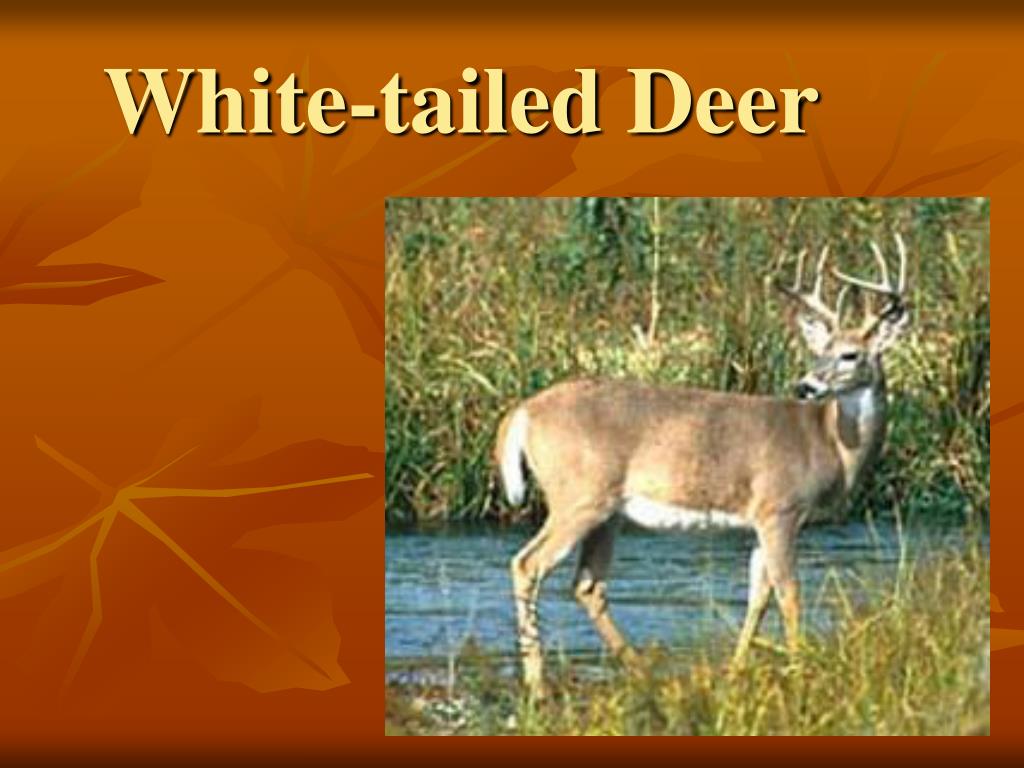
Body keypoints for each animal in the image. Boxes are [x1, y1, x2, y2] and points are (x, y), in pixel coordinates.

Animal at [494, 235, 910, 698]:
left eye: (850, 355)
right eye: (819, 352)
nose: (806, 385)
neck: (827, 442)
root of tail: (523, 411)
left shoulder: (760, 521)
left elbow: (758, 596)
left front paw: (737, 668)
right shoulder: (780, 508)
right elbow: (789, 591)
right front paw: (800, 667)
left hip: (607, 513)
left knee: (587, 584)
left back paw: (637, 668)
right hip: (578, 497)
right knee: (528, 565)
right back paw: (537, 683)